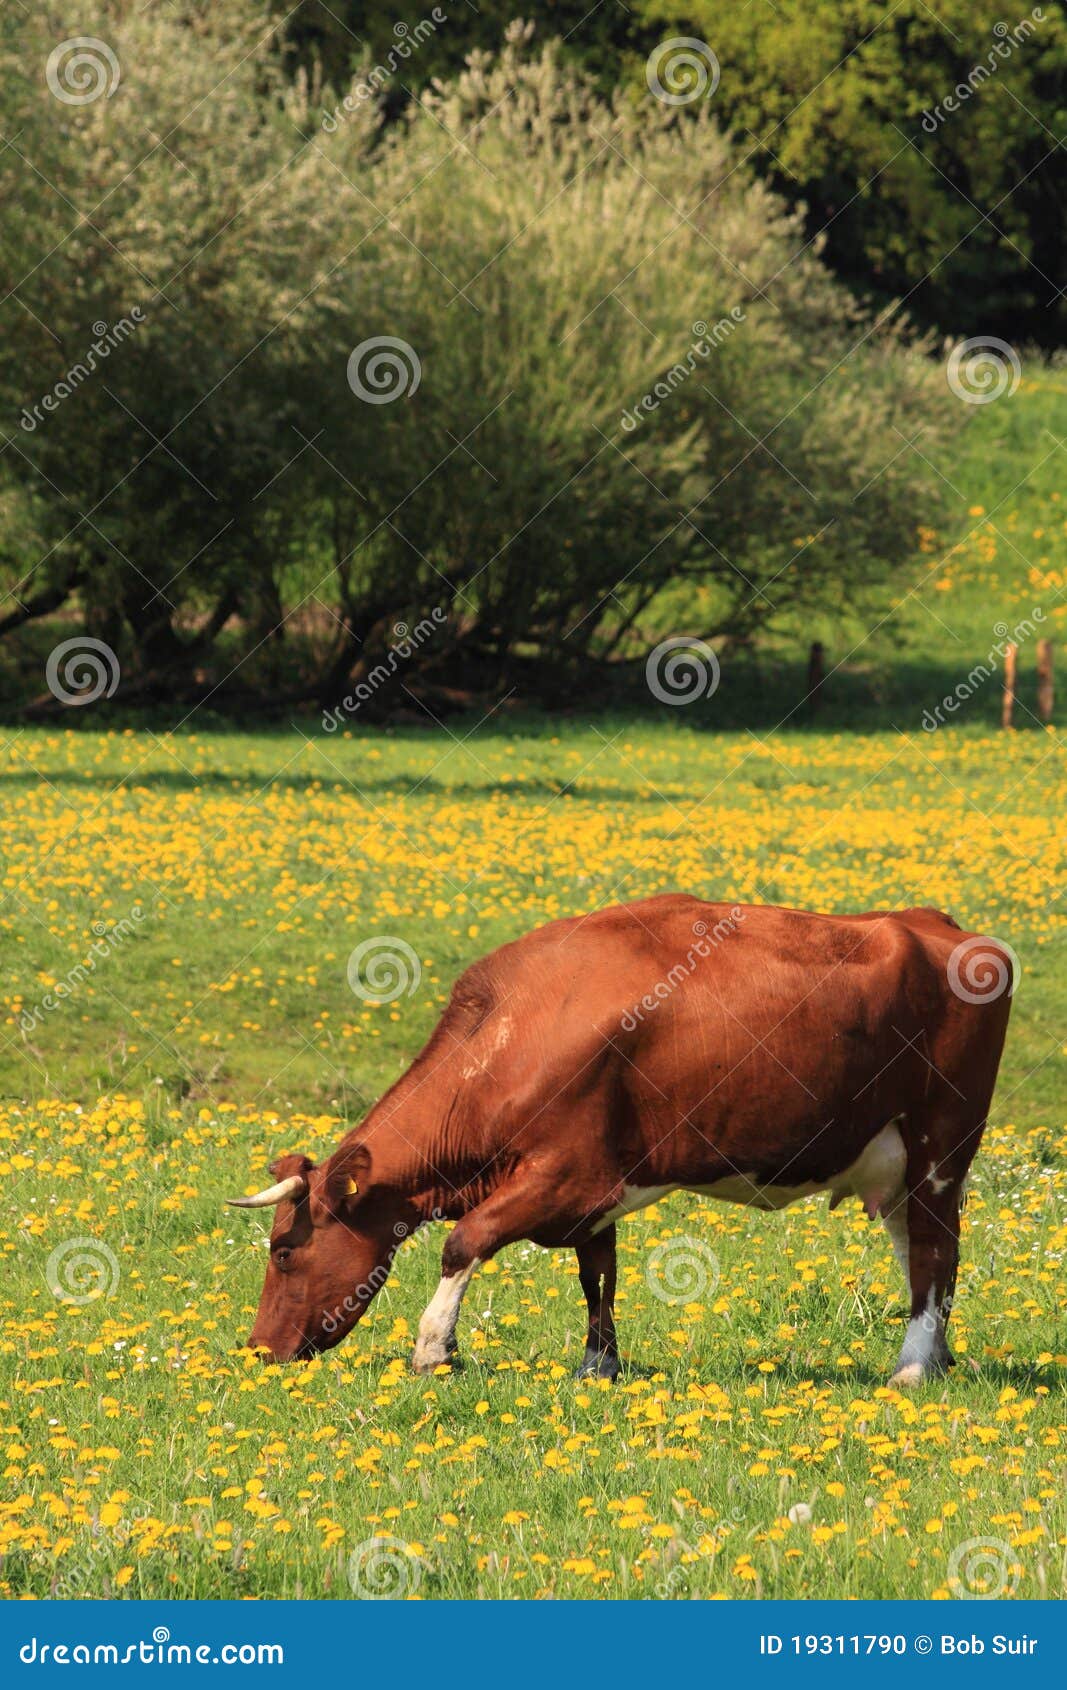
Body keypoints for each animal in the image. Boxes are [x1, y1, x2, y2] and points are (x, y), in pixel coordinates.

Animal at [228, 895, 1013, 1387]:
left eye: (284, 1250)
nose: (258, 1349)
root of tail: (940, 927)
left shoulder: (565, 1175)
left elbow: (463, 1242)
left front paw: (433, 1349)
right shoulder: (591, 1192)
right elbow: (596, 1274)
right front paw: (597, 1367)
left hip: (941, 1151)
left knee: (936, 1254)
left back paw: (910, 1368)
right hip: (898, 1171)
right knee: (920, 1259)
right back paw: (937, 1357)